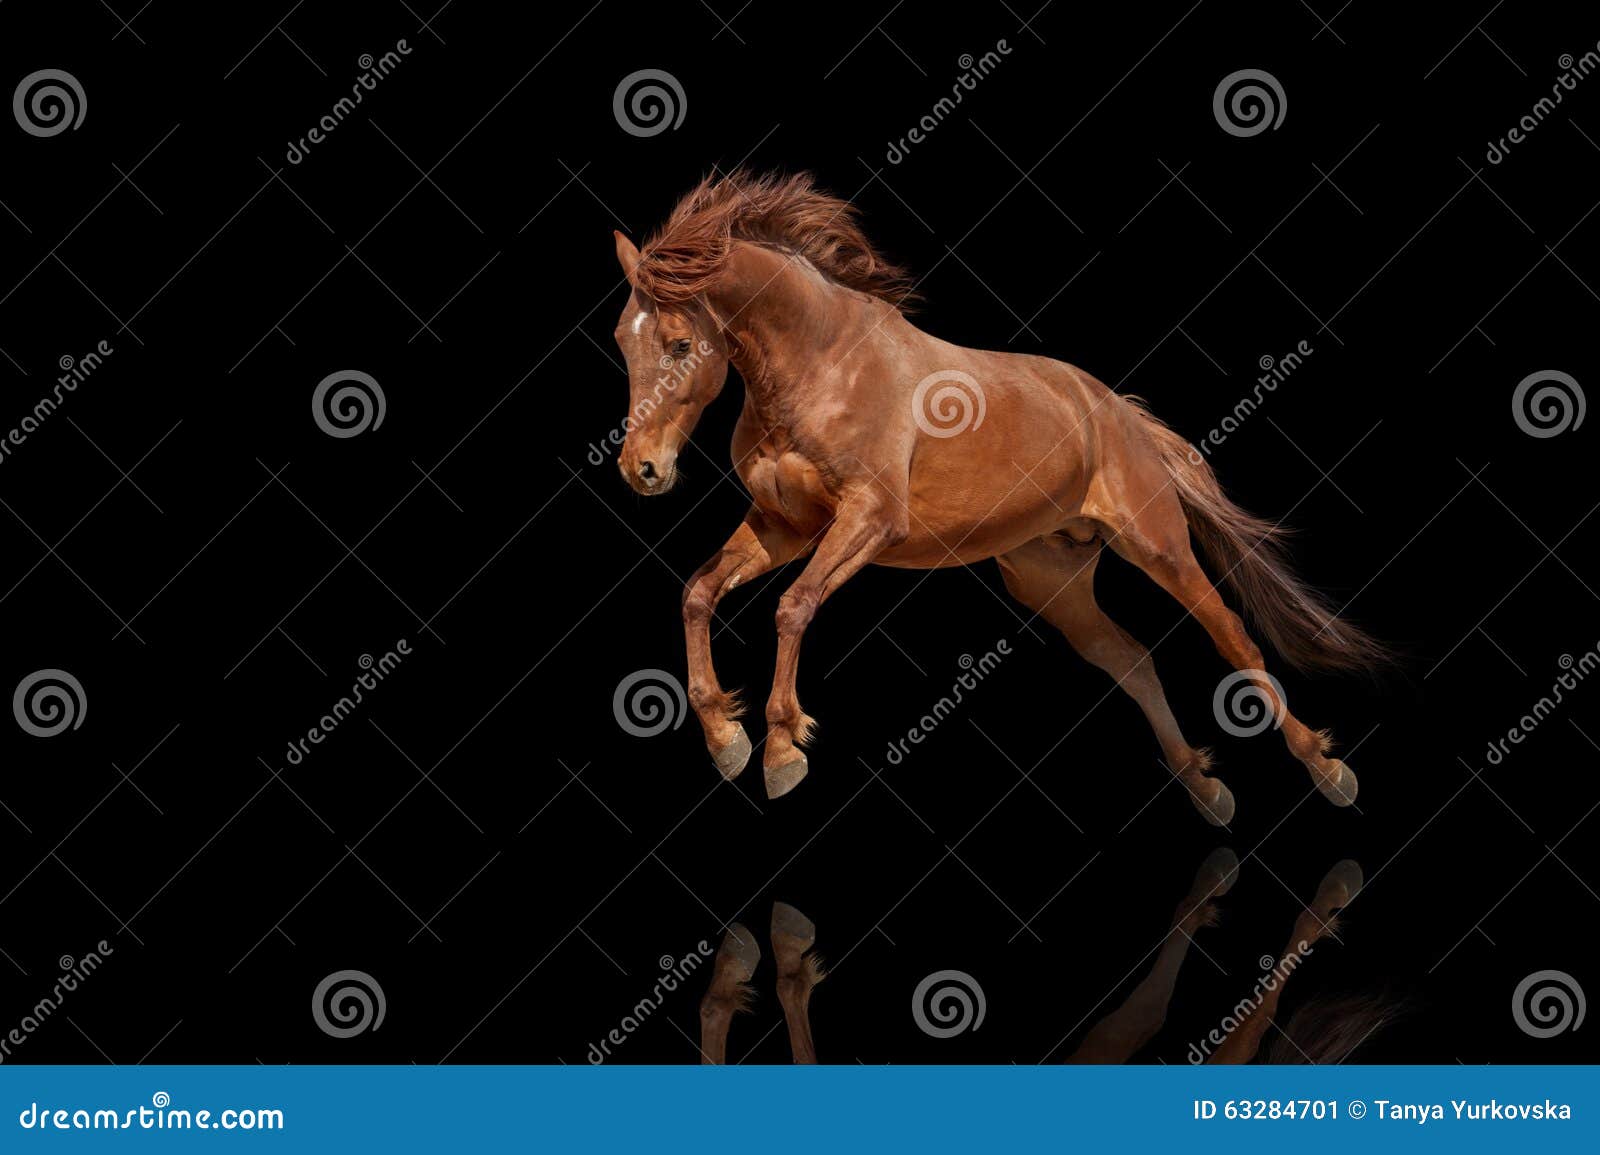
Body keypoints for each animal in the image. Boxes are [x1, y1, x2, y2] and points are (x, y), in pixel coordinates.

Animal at [609, 171, 1386, 823]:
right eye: (622, 338)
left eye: (679, 344)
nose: (641, 468)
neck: (823, 364)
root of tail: (1120, 414)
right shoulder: (784, 525)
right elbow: (699, 594)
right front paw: (724, 737)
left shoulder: (868, 520)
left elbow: (793, 607)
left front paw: (780, 750)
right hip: (1052, 580)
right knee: (1132, 660)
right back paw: (1206, 786)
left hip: (1157, 545)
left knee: (1233, 637)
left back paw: (1327, 770)